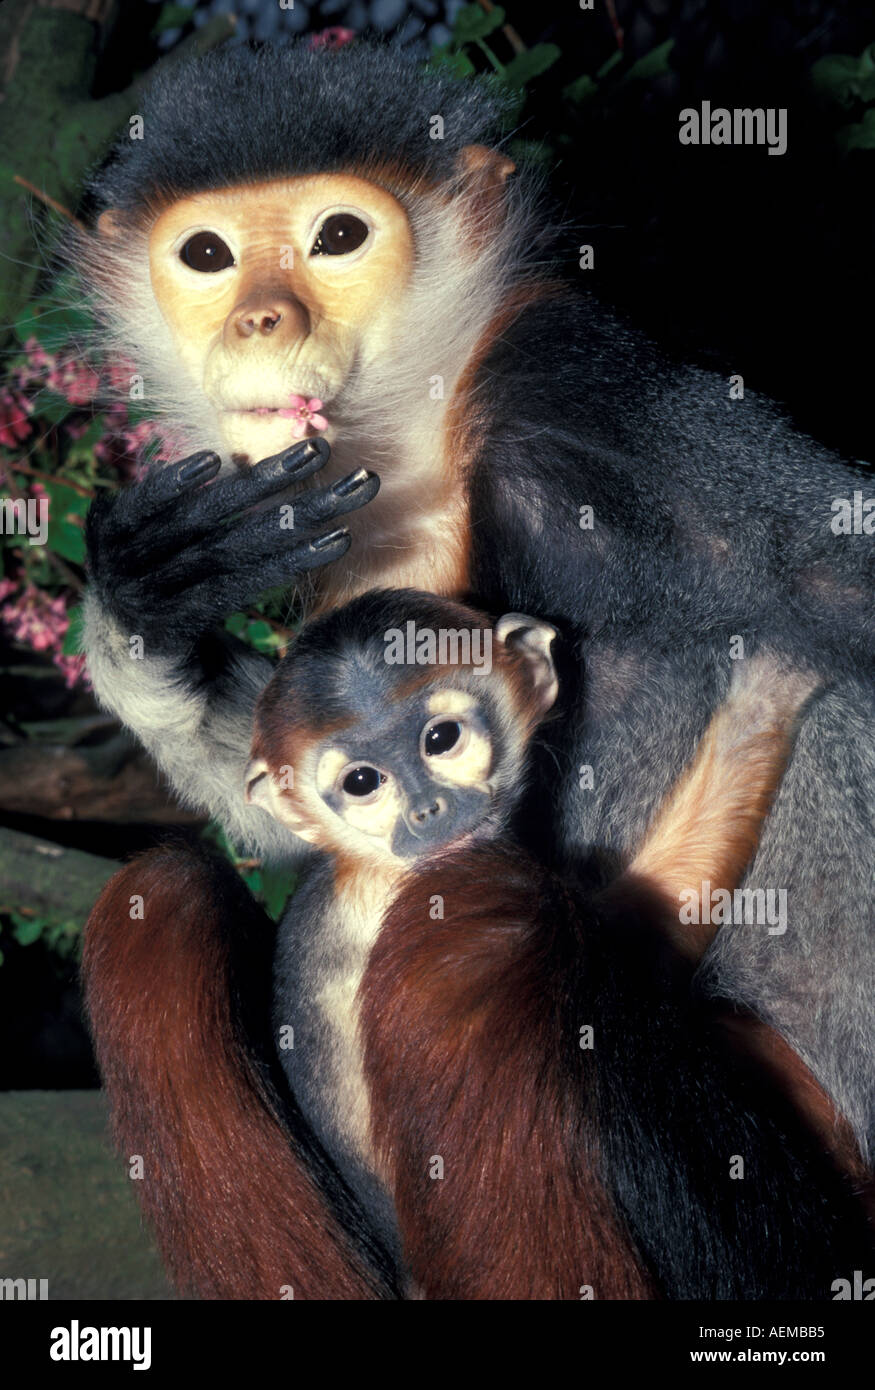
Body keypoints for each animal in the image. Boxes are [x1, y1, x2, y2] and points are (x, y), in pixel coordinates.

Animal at [74, 42, 874, 1160]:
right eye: (206, 254)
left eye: (337, 237)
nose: (260, 319)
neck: (437, 424)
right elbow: (295, 797)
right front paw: (146, 607)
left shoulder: (568, 389)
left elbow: (833, 584)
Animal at [83, 588, 873, 1300]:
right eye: (361, 782)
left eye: (441, 740)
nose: (427, 809)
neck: (364, 869)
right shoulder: (430, 882)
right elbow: (640, 931)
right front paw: (762, 703)